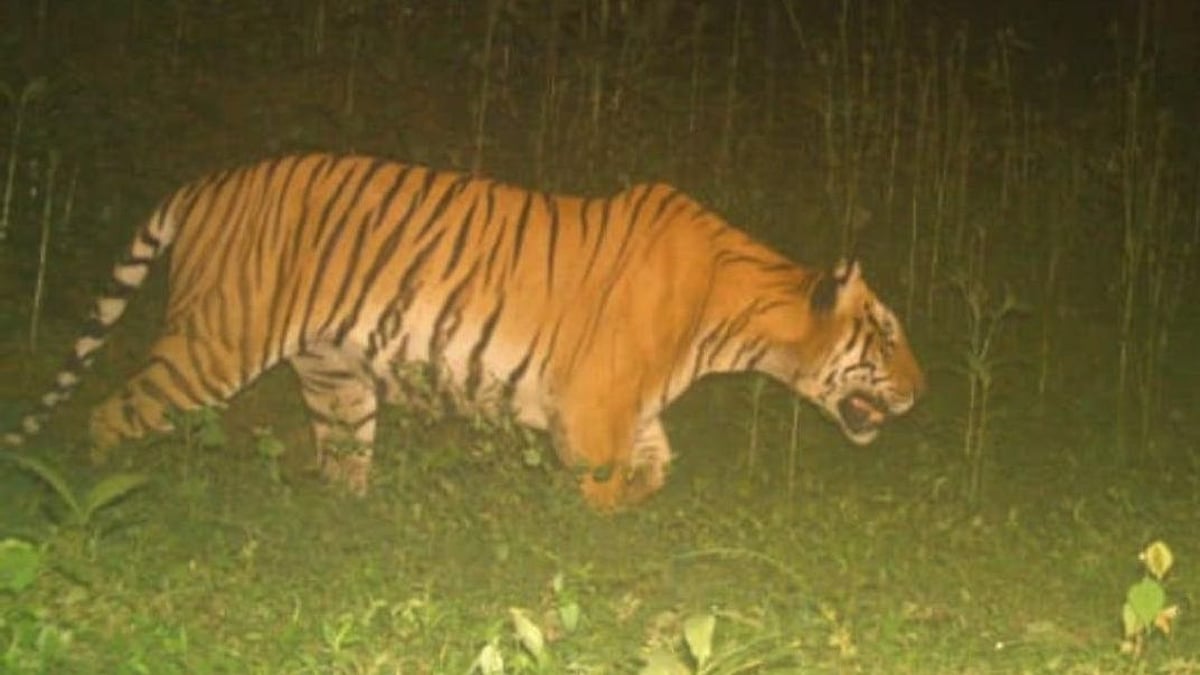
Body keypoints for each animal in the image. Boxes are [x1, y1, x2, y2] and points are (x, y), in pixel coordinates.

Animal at [3, 153, 924, 511]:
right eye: (884, 337)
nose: (923, 390)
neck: (740, 314)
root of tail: (206, 182)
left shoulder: (631, 408)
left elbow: (658, 468)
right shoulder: (594, 406)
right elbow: (603, 487)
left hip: (335, 375)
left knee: (343, 464)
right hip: (216, 342)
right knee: (110, 415)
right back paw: (96, 504)